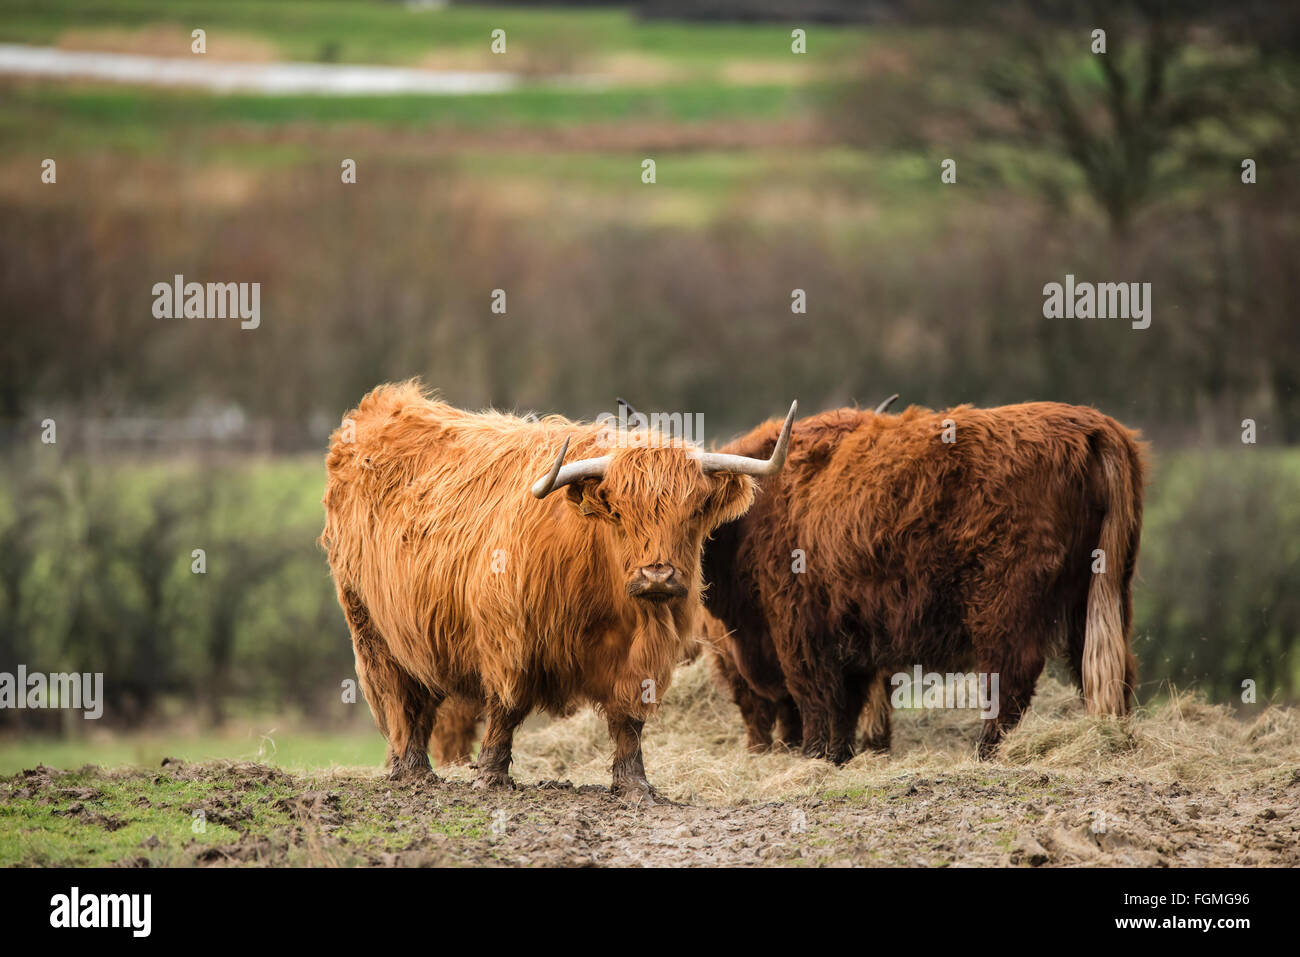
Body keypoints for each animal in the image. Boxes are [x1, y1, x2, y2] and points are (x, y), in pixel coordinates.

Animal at [320, 382, 795, 802]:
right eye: (619, 513)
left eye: (694, 511)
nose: (657, 575)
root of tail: (379, 408)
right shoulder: (508, 639)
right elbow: (506, 708)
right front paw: (490, 777)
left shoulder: (644, 658)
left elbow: (629, 721)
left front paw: (634, 785)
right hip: (369, 625)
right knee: (398, 695)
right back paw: (413, 771)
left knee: (420, 697)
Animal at [699, 400, 1146, 764]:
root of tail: (1090, 425)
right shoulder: (846, 633)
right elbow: (843, 705)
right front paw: (839, 757)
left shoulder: (798, 626)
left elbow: (815, 698)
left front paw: (814, 757)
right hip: (1103, 593)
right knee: (1112, 668)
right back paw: (1113, 740)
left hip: (1004, 604)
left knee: (1010, 678)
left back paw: (986, 753)